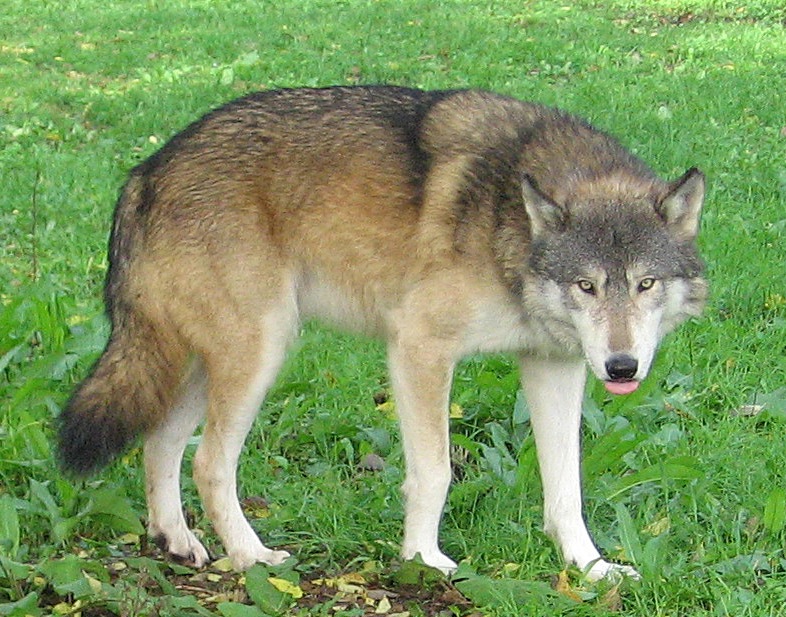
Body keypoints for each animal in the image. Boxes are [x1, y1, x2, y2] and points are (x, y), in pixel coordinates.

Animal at [57, 86, 706, 581]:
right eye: (587, 286)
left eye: (645, 284)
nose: (622, 368)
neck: (508, 224)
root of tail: (145, 171)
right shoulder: (420, 349)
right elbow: (435, 472)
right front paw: (423, 560)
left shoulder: (556, 366)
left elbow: (567, 487)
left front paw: (589, 568)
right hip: (258, 354)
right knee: (208, 462)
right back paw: (250, 556)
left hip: (205, 365)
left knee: (160, 443)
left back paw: (178, 542)